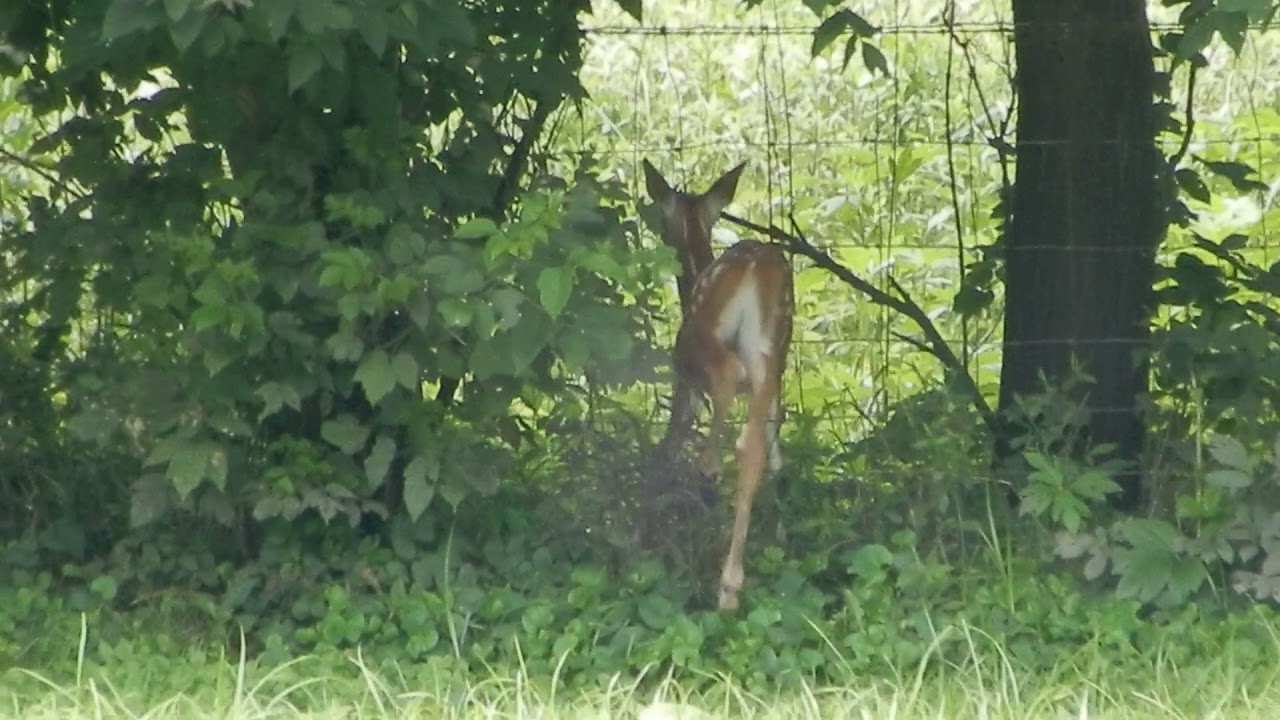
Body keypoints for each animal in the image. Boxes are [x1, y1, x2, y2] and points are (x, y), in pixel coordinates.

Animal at [641, 158, 795, 611]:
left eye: (662, 219)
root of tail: (756, 268)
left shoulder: (685, 377)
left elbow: (669, 442)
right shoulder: (775, 386)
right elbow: (776, 451)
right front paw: (780, 533)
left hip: (706, 341)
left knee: (728, 381)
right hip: (771, 352)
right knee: (753, 446)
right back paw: (732, 583)